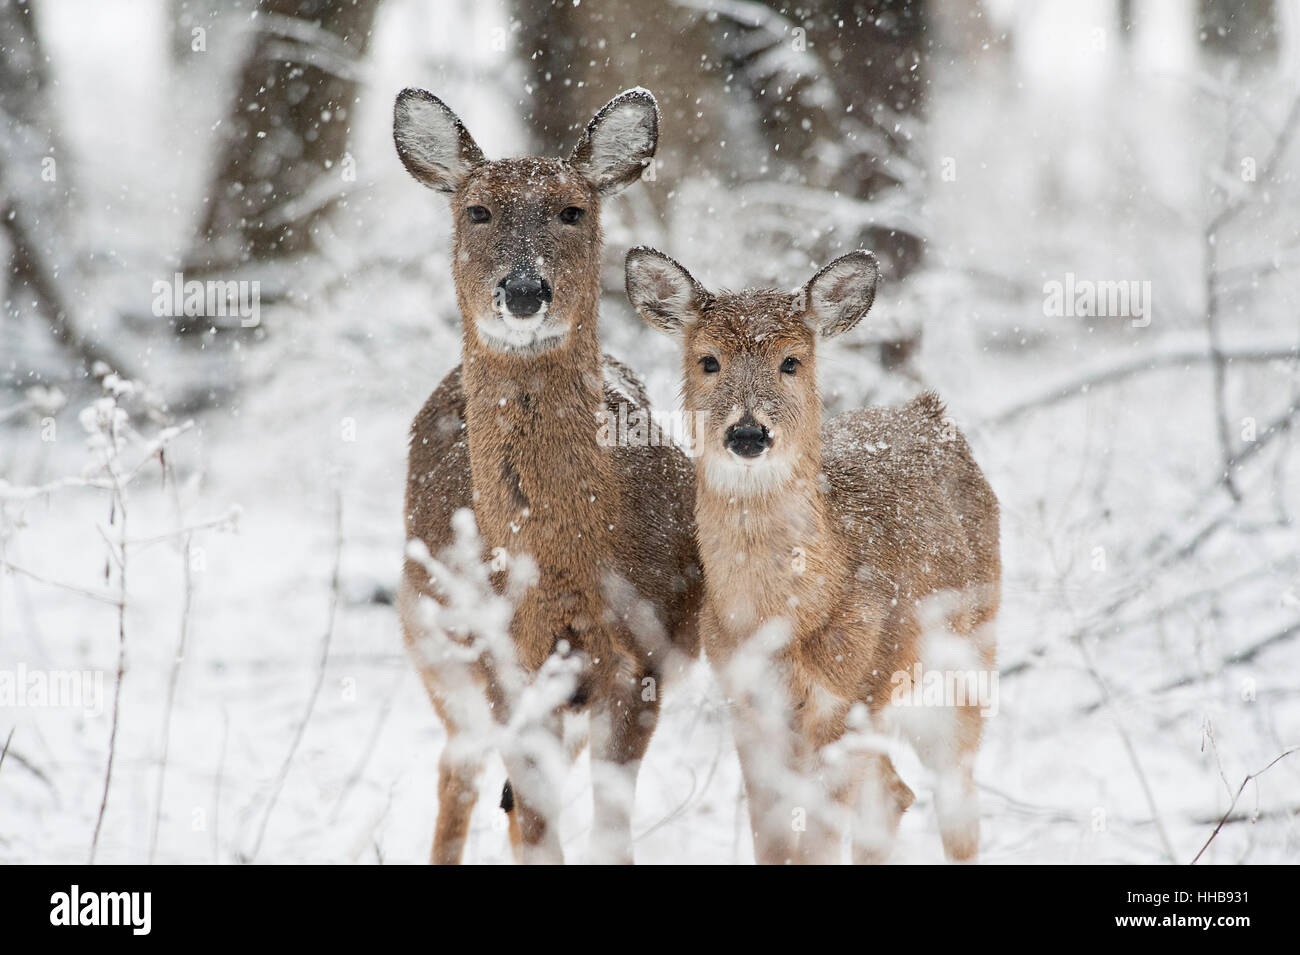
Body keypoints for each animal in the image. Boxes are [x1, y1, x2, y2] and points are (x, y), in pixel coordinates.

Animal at [393, 89, 702, 865]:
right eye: (477, 211)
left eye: (571, 210)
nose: (525, 289)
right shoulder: (507, 665)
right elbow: (535, 825)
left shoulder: (640, 660)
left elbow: (607, 828)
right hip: (431, 641)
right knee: (461, 768)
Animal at [625, 247, 1001, 864]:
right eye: (708, 361)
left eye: (791, 362)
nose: (748, 432)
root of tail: (931, 414)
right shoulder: (747, 704)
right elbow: (773, 837)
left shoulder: (843, 695)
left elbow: (818, 840)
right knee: (894, 794)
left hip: (961, 666)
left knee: (959, 808)